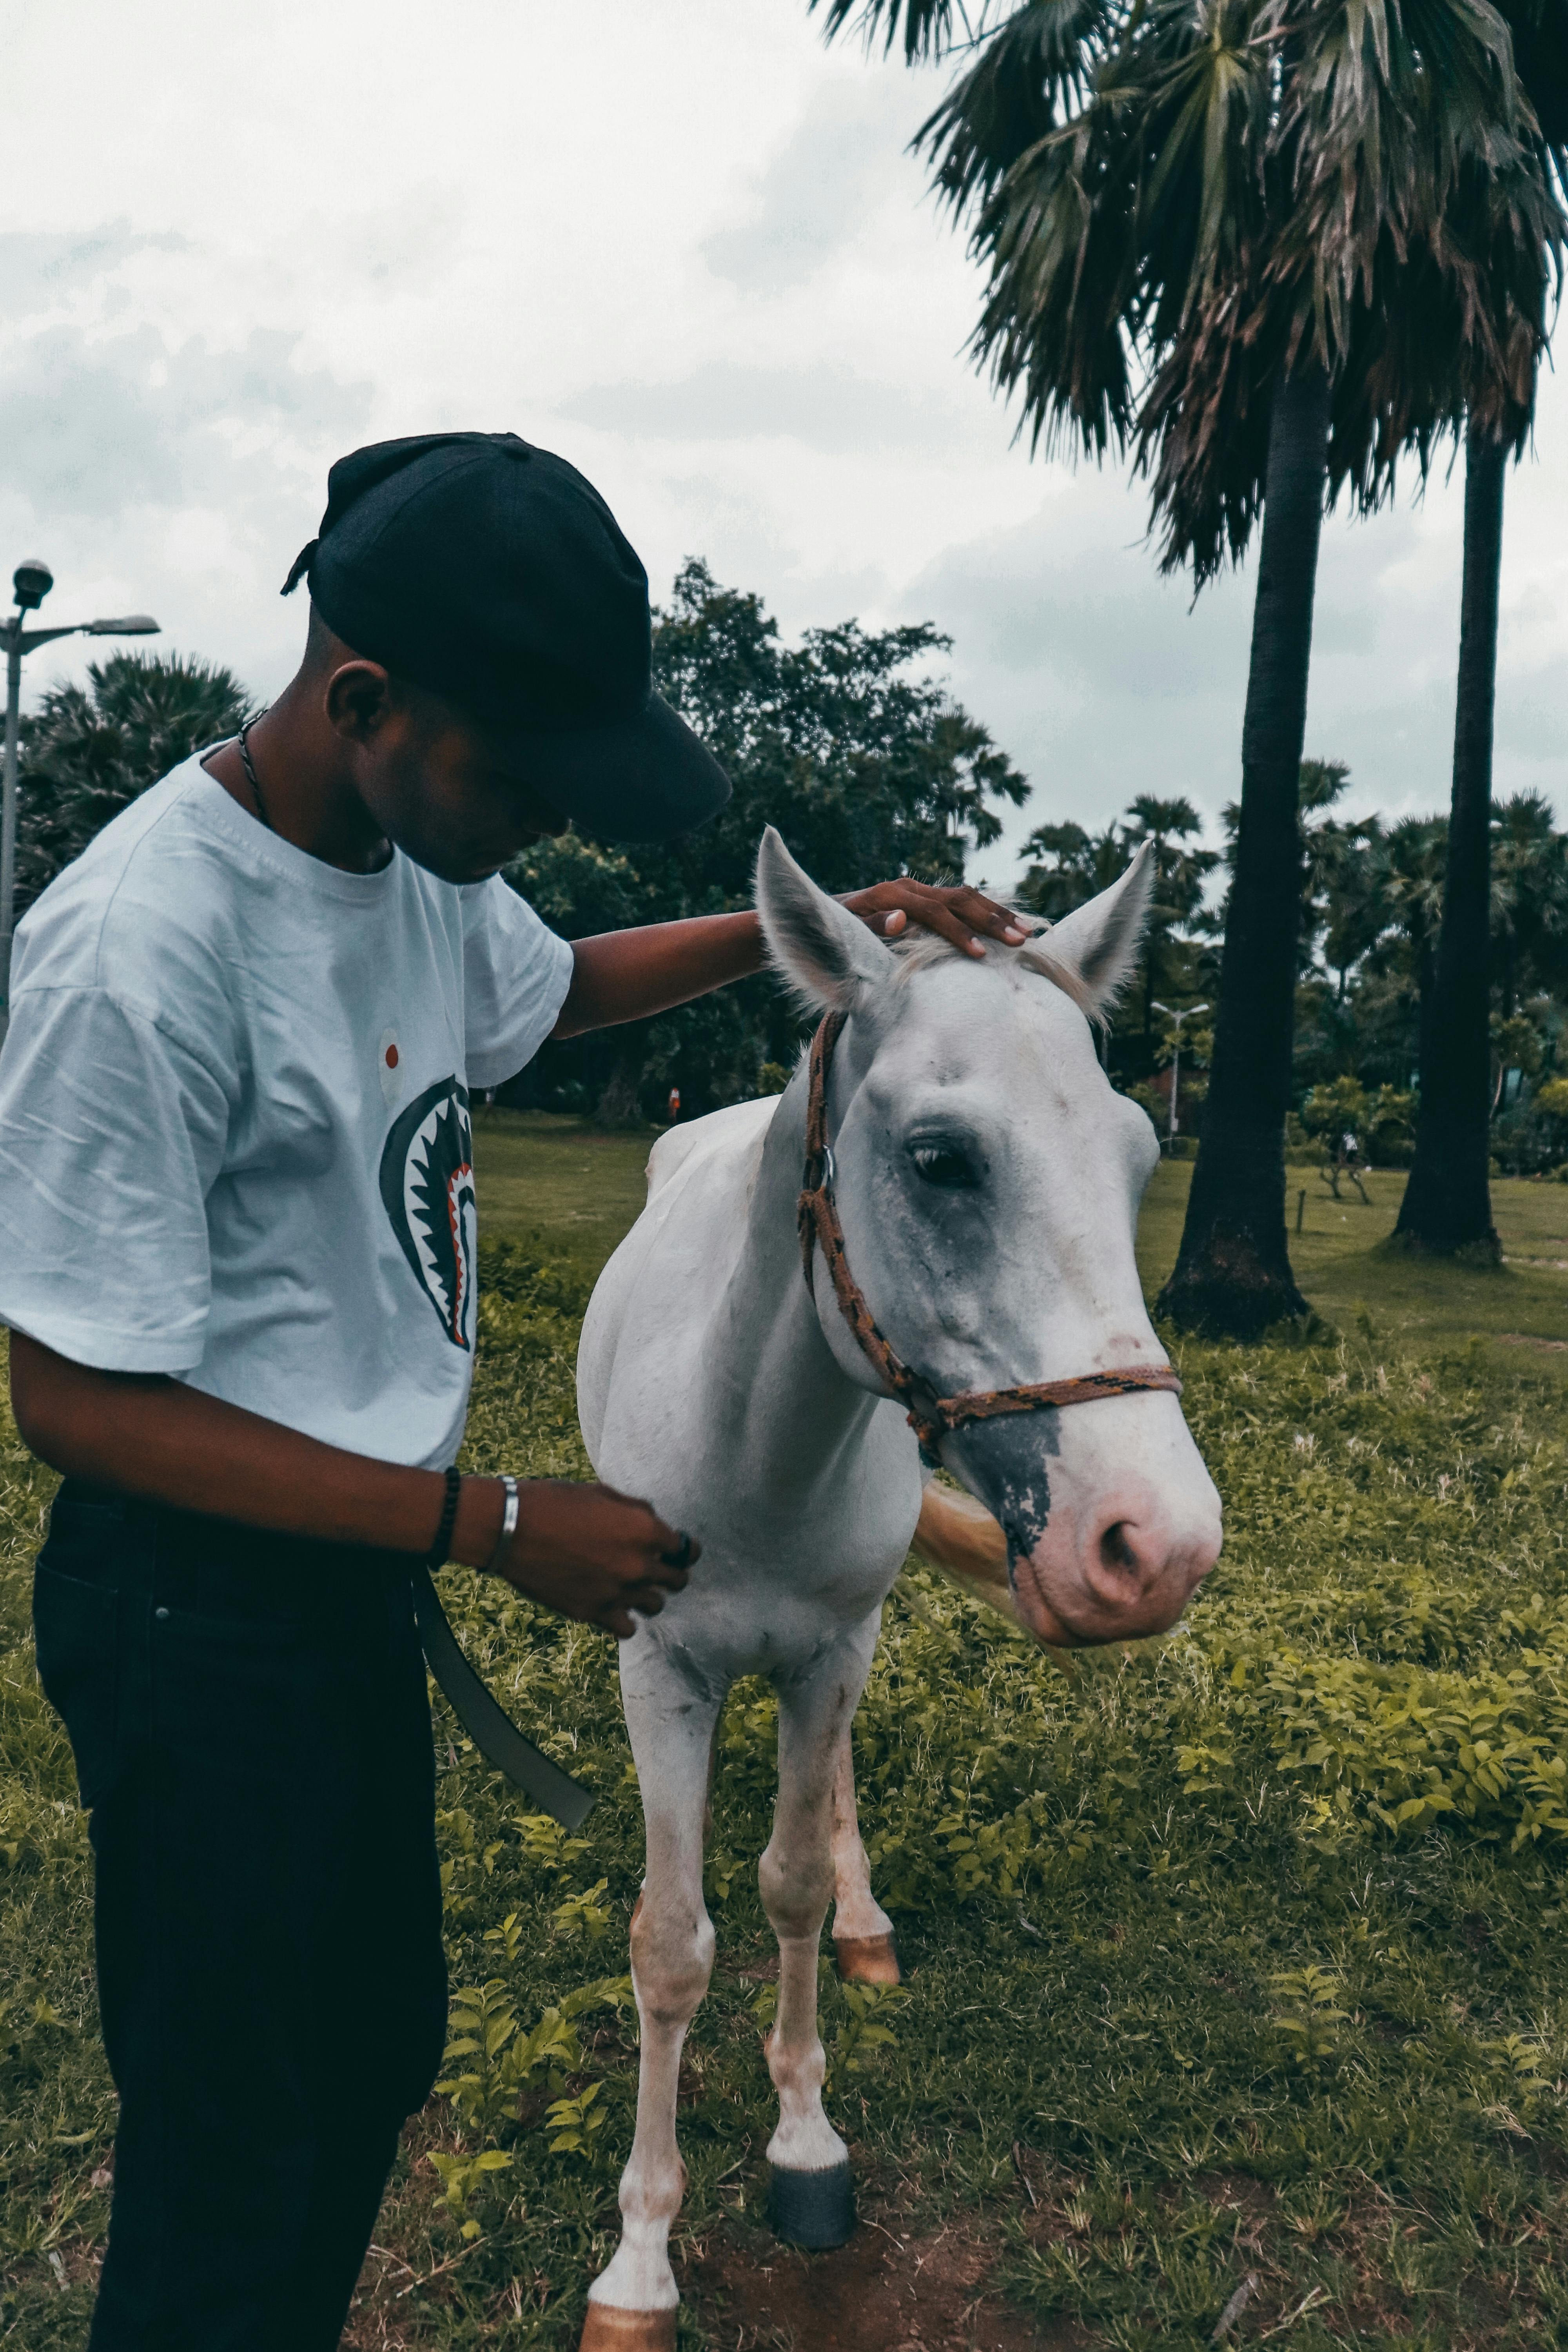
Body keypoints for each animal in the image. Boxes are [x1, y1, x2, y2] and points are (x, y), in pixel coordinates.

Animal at [572, 827, 1223, 2349]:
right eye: (940, 1159)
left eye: (1140, 1153)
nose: (1152, 1546)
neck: (751, 1450)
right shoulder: (658, 1671)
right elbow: (671, 1943)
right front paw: (640, 2258)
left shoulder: (830, 1650)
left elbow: (794, 1886)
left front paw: (806, 2142)